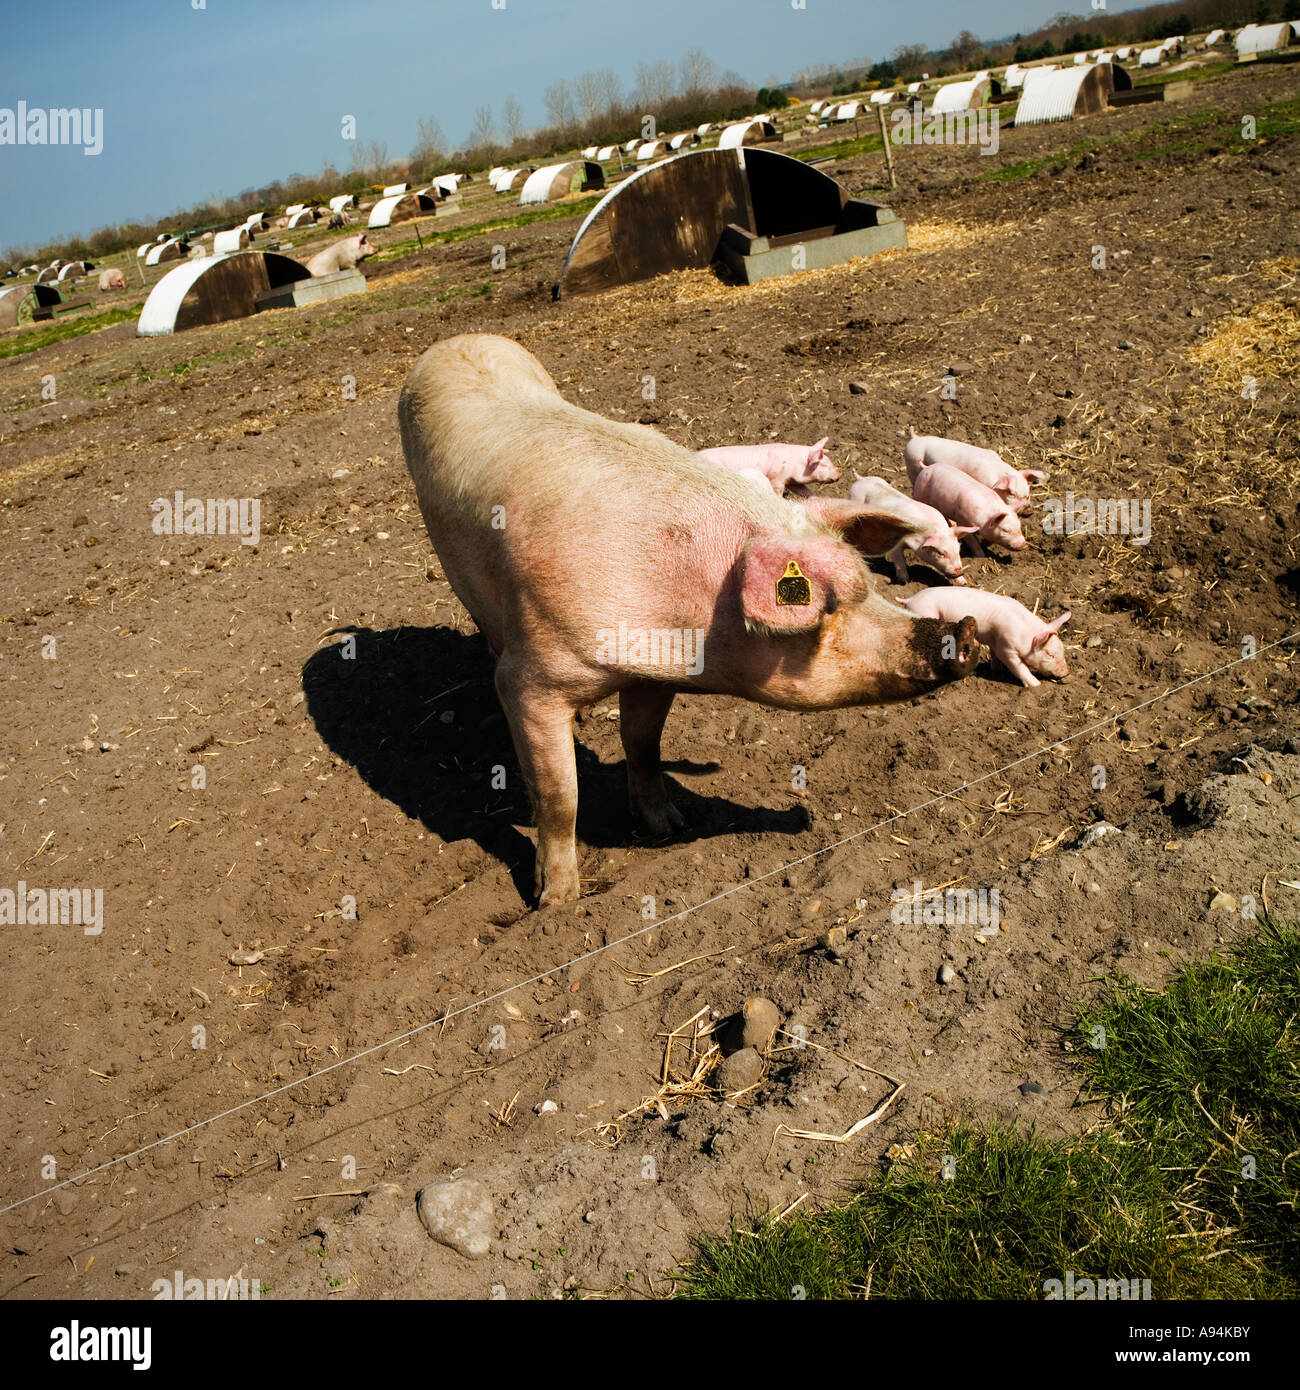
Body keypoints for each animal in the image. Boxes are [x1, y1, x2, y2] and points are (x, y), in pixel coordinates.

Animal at [904, 588, 1070, 687]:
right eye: (1049, 654)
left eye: (1062, 650)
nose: (1066, 672)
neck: (1025, 635)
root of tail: (909, 600)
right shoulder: (1006, 647)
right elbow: (1018, 667)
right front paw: (1036, 685)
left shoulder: (995, 642)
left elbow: (994, 657)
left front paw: (996, 672)